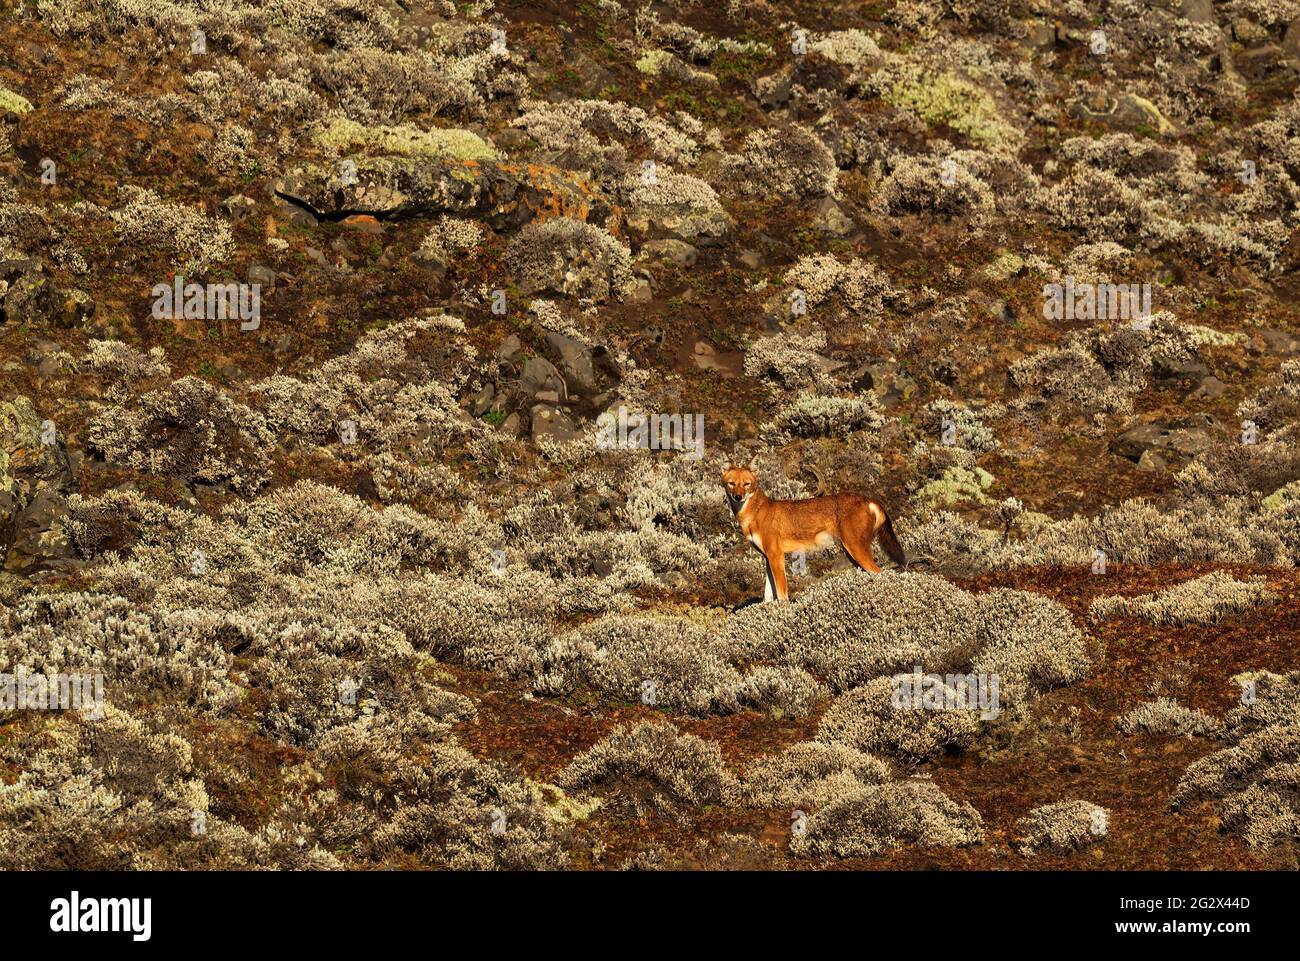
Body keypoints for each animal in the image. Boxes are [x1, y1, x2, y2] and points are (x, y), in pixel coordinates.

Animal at [722, 464, 905, 602]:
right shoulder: (768, 558)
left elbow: (782, 595)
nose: (738, 497)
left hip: (856, 552)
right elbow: (767, 597)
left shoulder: (776, 556)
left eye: (746, 484)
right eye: (731, 483)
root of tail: (870, 500)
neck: (755, 513)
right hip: (852, 555)